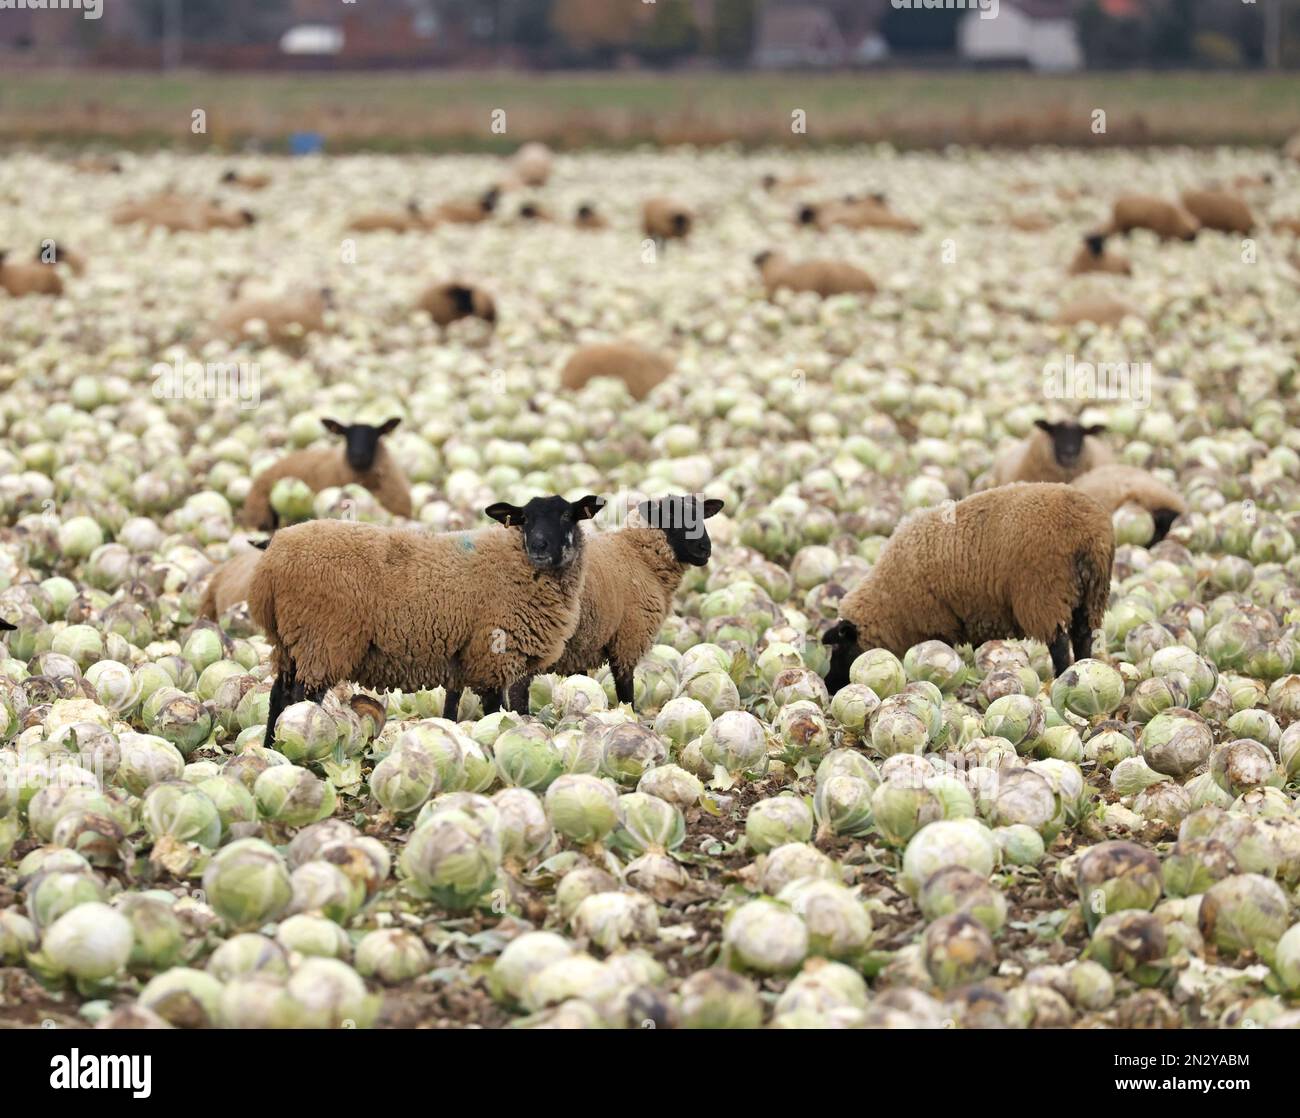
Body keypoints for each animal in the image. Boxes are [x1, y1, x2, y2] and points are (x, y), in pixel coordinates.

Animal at [249, 494, 606, 740]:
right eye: (525, 519)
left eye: (566, 515)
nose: (539, 545)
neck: (517, 564)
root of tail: (271, 562)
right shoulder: (491, 654)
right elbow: (496, 710)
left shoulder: (463, 657)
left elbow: (452, 706)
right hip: (322, 639)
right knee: (302, 699)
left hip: (289, 642)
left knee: (278, 696)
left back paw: (273, 750)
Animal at [489, 495, 725, 713]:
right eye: (670, 516)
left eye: (701, 515)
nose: (705, 548)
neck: (639, 556)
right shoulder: (628, 639)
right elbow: (625, 689)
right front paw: (629, 713)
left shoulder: (581, 647)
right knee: (518, 689)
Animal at [822, 483, 1115, 688]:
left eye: (838, 647)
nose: (829, 685)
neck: (889, 599)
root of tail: (1086, 533)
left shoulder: (936, 623)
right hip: (1092, 596)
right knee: (1083, 636)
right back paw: (1082, 666)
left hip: (1044, 594)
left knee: (1059, 644)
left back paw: (1062, 676)